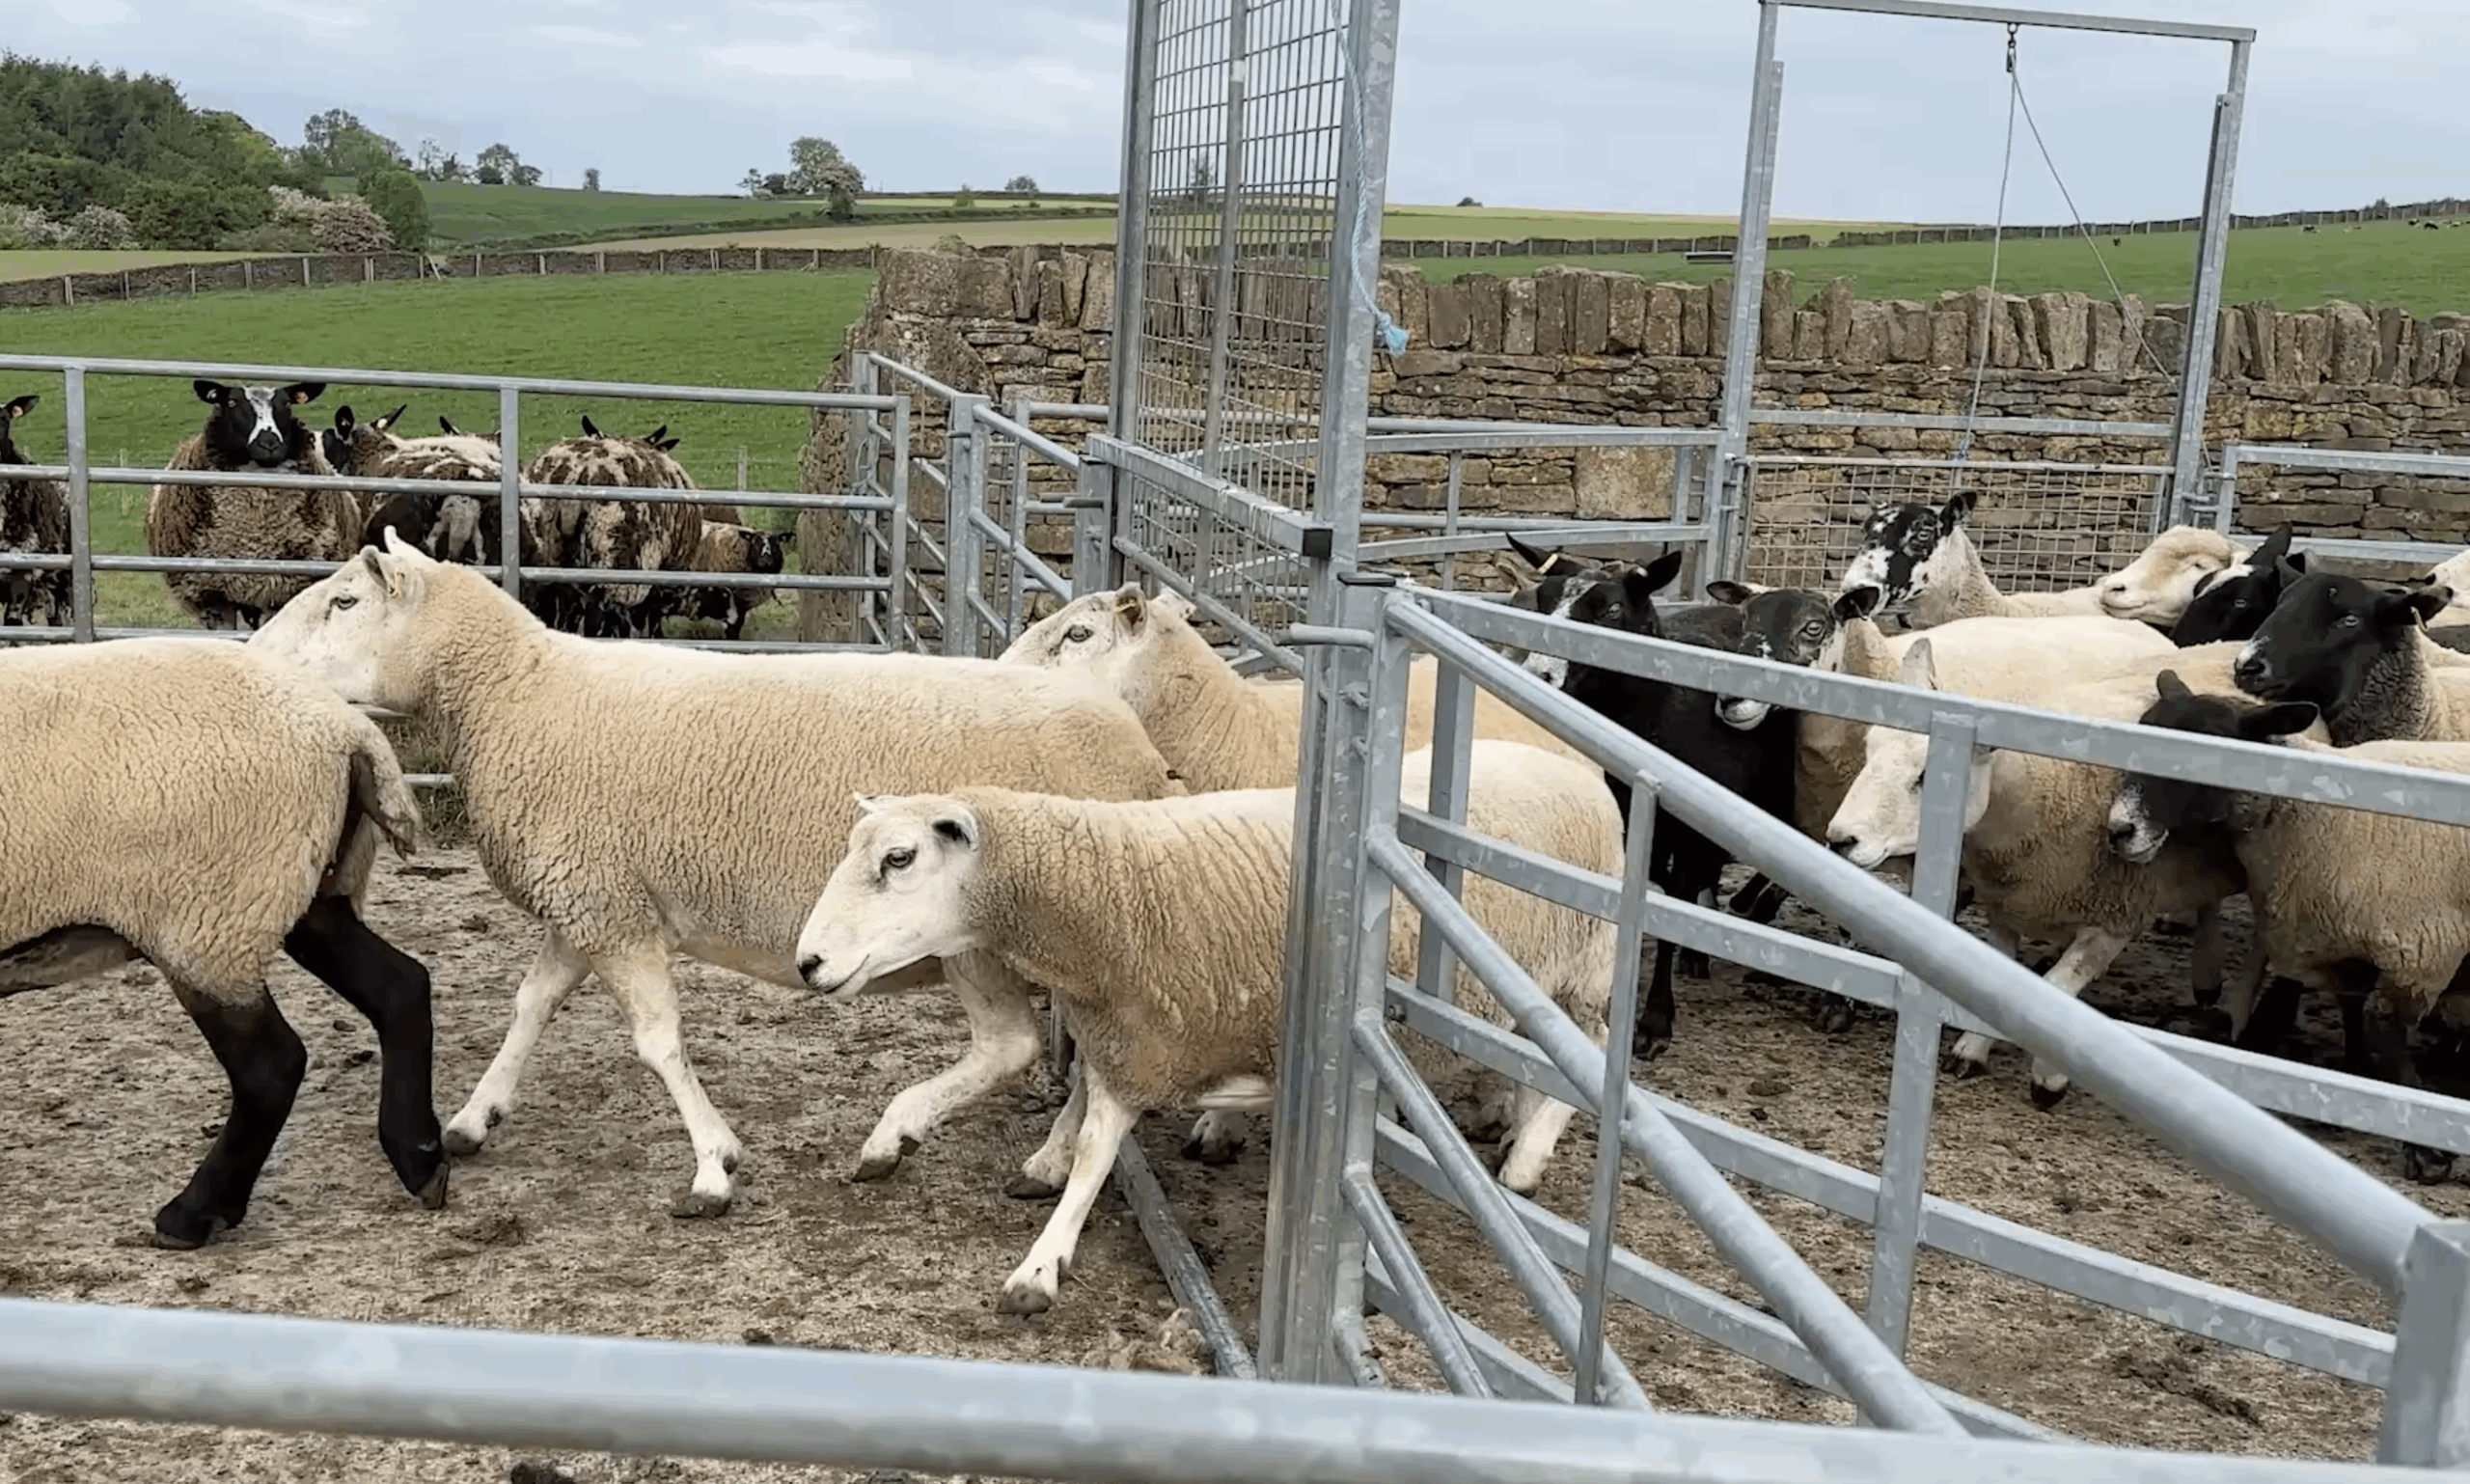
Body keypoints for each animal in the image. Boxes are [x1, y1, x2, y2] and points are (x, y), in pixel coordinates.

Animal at [1, 637, 446, 1247]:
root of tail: (348, 729)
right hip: (297, 892)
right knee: (400, 988)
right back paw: (420, 1157)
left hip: (206, 918)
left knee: (271, 1066)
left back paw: (194, 1214)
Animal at [146, 380, 361, 630]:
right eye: (231, 402)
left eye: (286, 403)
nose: (269, 444)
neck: (253, 531)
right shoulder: (213, 596)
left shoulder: (278, 589)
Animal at [247, 530, 1186, 1214]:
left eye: (343, 601)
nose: (251, 652)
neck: (514, 696)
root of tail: (1143, 762)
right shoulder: (589, 899)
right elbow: (531, 1005)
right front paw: (476, 1119)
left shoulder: (610, 911)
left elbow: (658, 1043)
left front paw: (712, 1166)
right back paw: (1048, 1161)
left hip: (975, 938)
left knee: (1012, 1045)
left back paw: (896, 1139)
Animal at [793, 737, 1620, 1313]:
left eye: (899, 859)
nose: (807, 962)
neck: (1105, 888)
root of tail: (1577, 771)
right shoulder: (1129, 1027)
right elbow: (1084, 1115)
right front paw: (1045, 1178)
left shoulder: (1166, 1033)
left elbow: (1101, 1147)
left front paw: (1041, 1264)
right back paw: (1508, 1129)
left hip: (1586, 967)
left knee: (1594, 1057)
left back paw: (1525, 1161)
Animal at [2106, 674, 2470, 1183]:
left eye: (2202, 750)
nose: (2119, 829)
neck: (2308, 816)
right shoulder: (2339, 943)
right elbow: (2352, 1012)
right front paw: (2353, 1077)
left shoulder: (2422, 947)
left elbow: (2384, 1028)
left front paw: (2426, 1149)